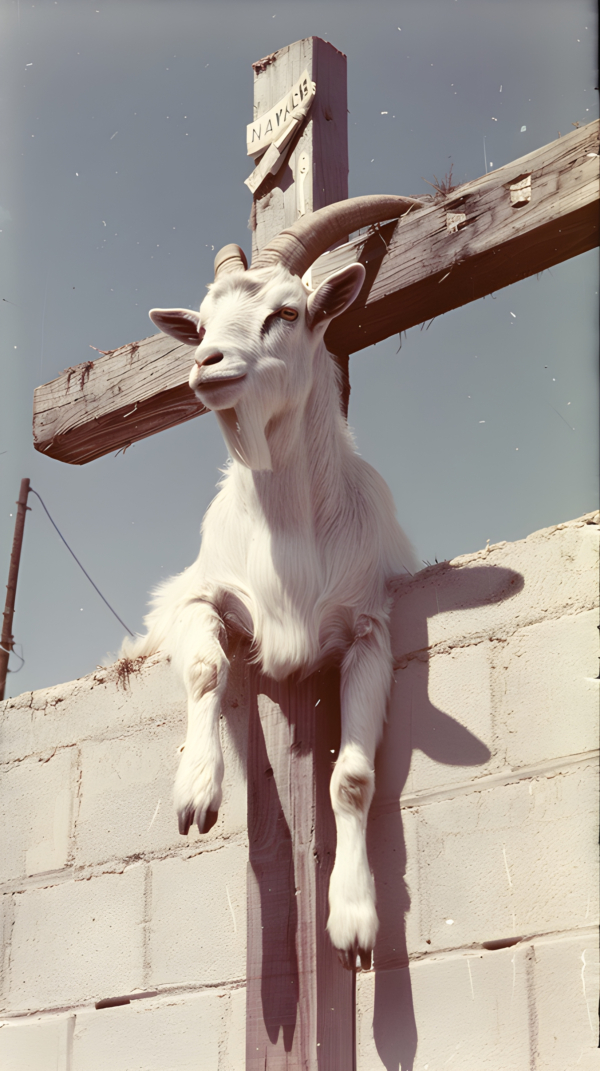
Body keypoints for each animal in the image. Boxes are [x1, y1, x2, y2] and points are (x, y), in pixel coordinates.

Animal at [123, 195, 422, 970]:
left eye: (286, 311)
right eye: (200, 324)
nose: (206, 364)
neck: (287, 536)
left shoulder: (370, 629)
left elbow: (354, 778)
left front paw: (354, 923)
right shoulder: (196, 595)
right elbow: (205, 666)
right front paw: (197, 792)